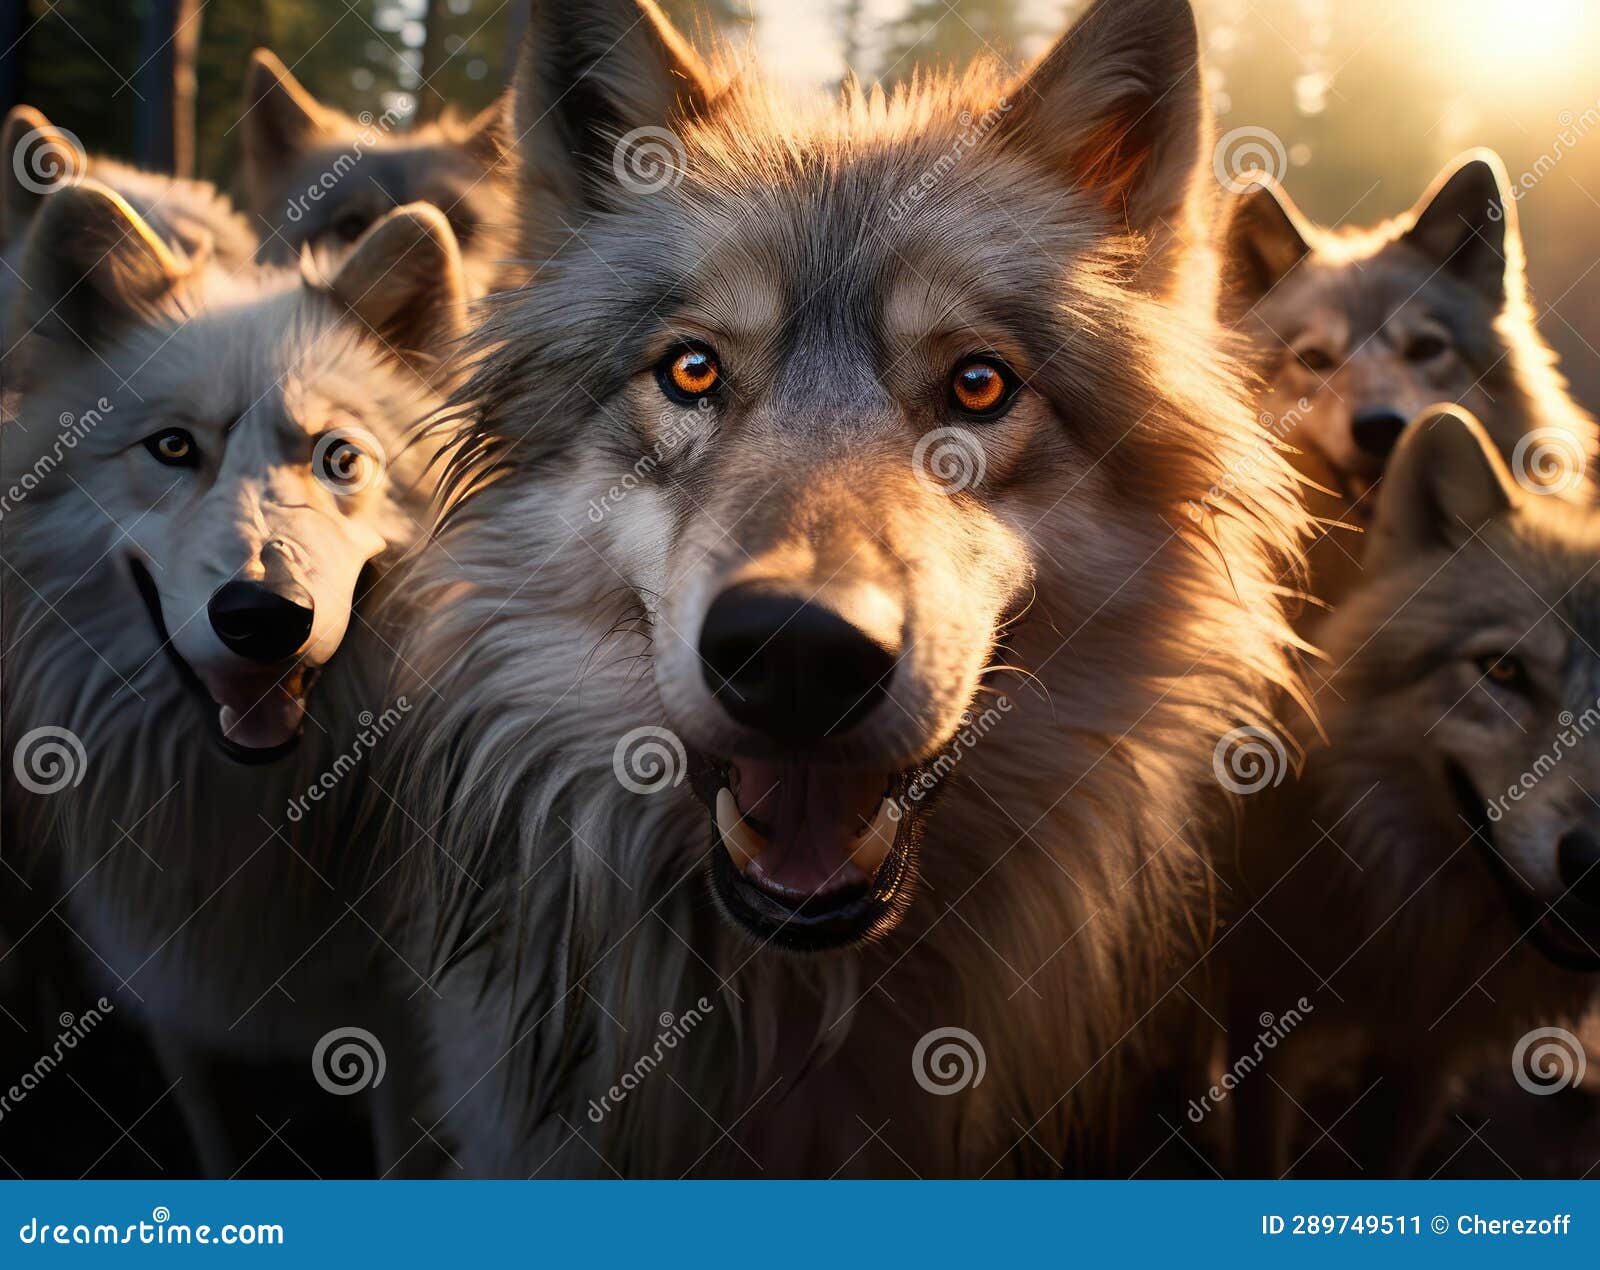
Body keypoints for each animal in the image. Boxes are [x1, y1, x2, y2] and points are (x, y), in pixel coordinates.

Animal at [1, 180, 466, 1173]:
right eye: (173, 448)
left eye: (340, 459)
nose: (264, 616)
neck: (252, 822)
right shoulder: (177, 1011)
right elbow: (218, 1151)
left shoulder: (410, 1043)